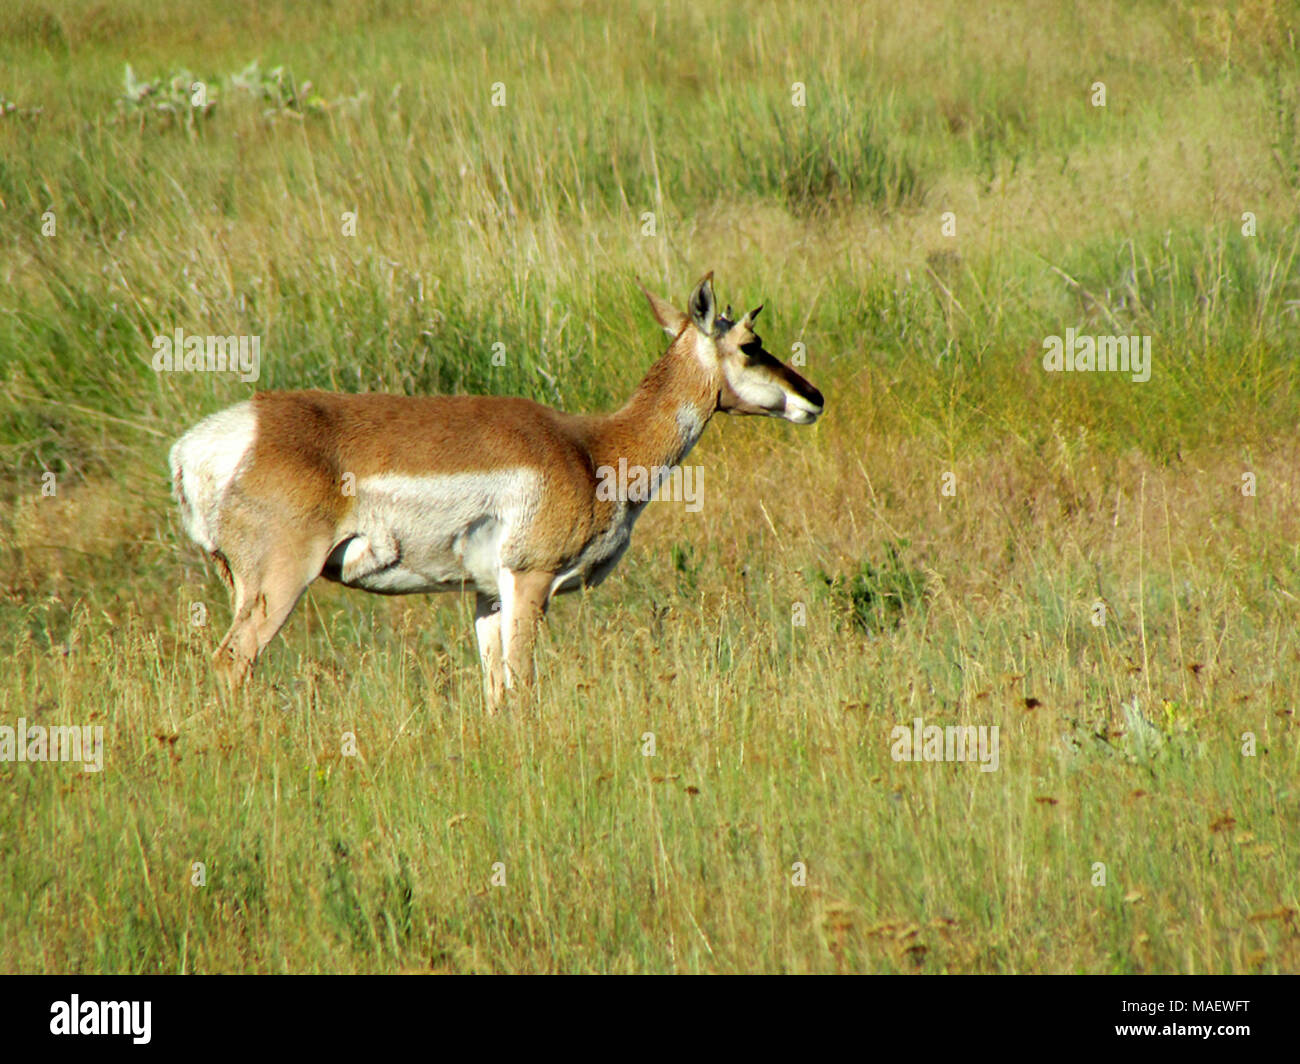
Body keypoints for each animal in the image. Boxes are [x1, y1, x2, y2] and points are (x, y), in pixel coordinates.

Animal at [170, 274, 824, 711]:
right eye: (750, 343)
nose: (814, 398)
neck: (593, 447)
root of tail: (205, 443)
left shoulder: (487, 598)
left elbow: (495, 695)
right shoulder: (530, 580)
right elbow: (523, 688)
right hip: (279, 582)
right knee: (232, 662)